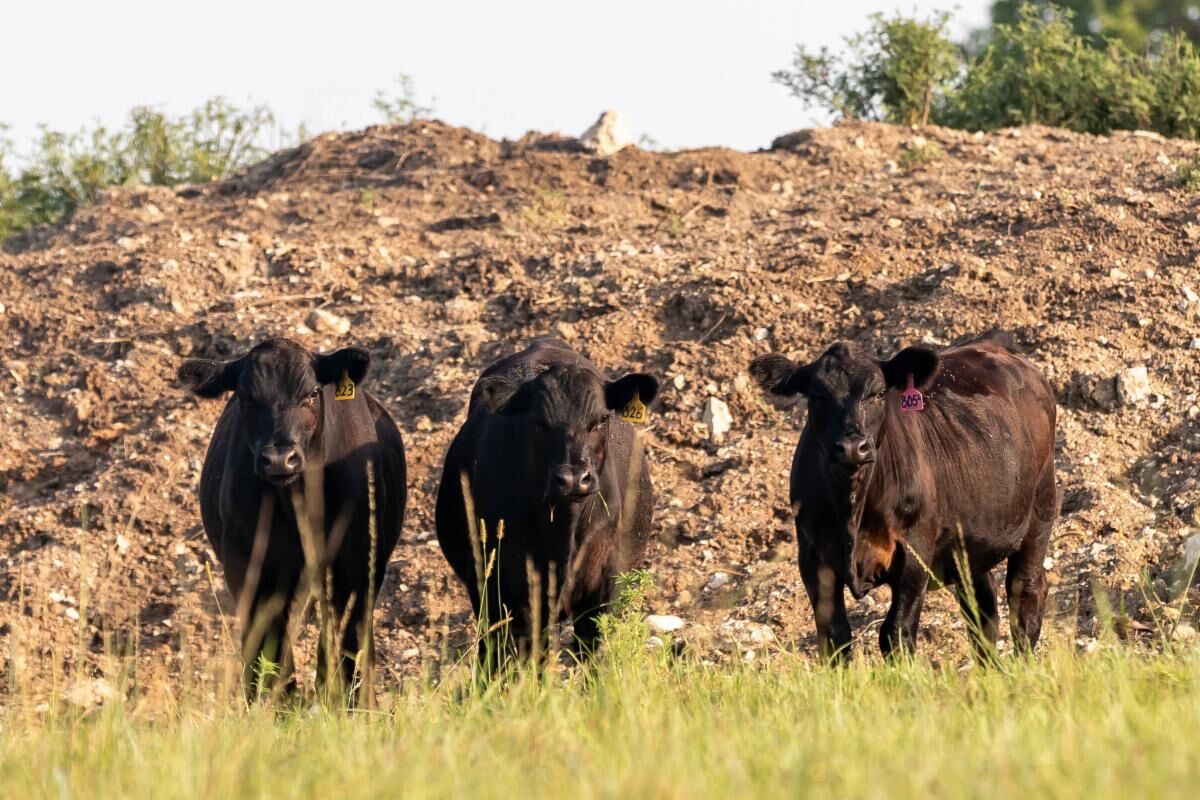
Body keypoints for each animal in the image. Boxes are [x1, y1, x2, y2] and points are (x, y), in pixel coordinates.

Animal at [178, 337, 406, 700]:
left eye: (312, 392)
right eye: (245, 397)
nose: (279, 458)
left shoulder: (357, 567)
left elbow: (349, 651)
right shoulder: (250, 568)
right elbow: (268, 655)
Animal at [749, 330, 1056, 662]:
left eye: (878, 393)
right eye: (818, 397)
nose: (853, 447)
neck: (852, 508)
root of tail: (996, 341)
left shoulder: (914, 551)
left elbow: (896, 632)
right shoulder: (813, 557)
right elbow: (834, 637)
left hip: (1041, 509)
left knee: (1025, 593)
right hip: (970, 544)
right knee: (982, 606)